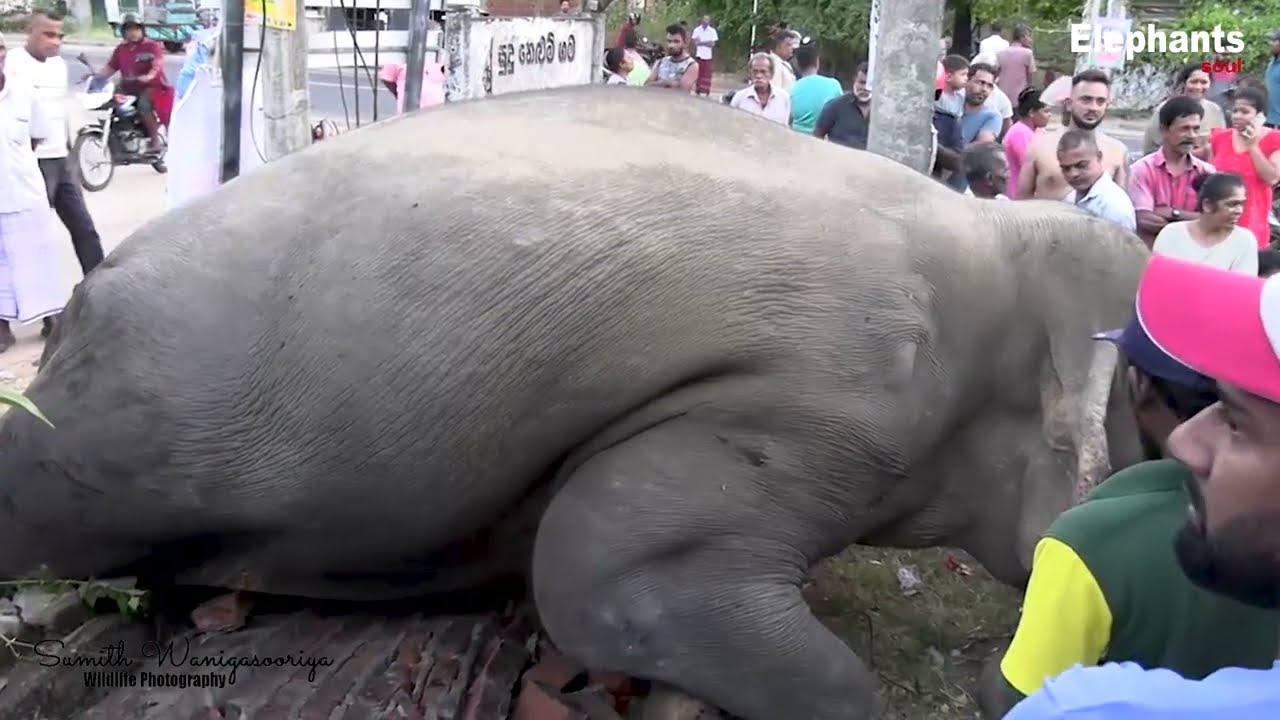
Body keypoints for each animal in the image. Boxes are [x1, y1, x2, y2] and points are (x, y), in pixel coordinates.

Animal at [0, 86, 1150, 720]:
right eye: (1158, 408)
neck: (1003, 248)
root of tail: (79, 307)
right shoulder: (836, 398)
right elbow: (592, 567)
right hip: (126, 436)